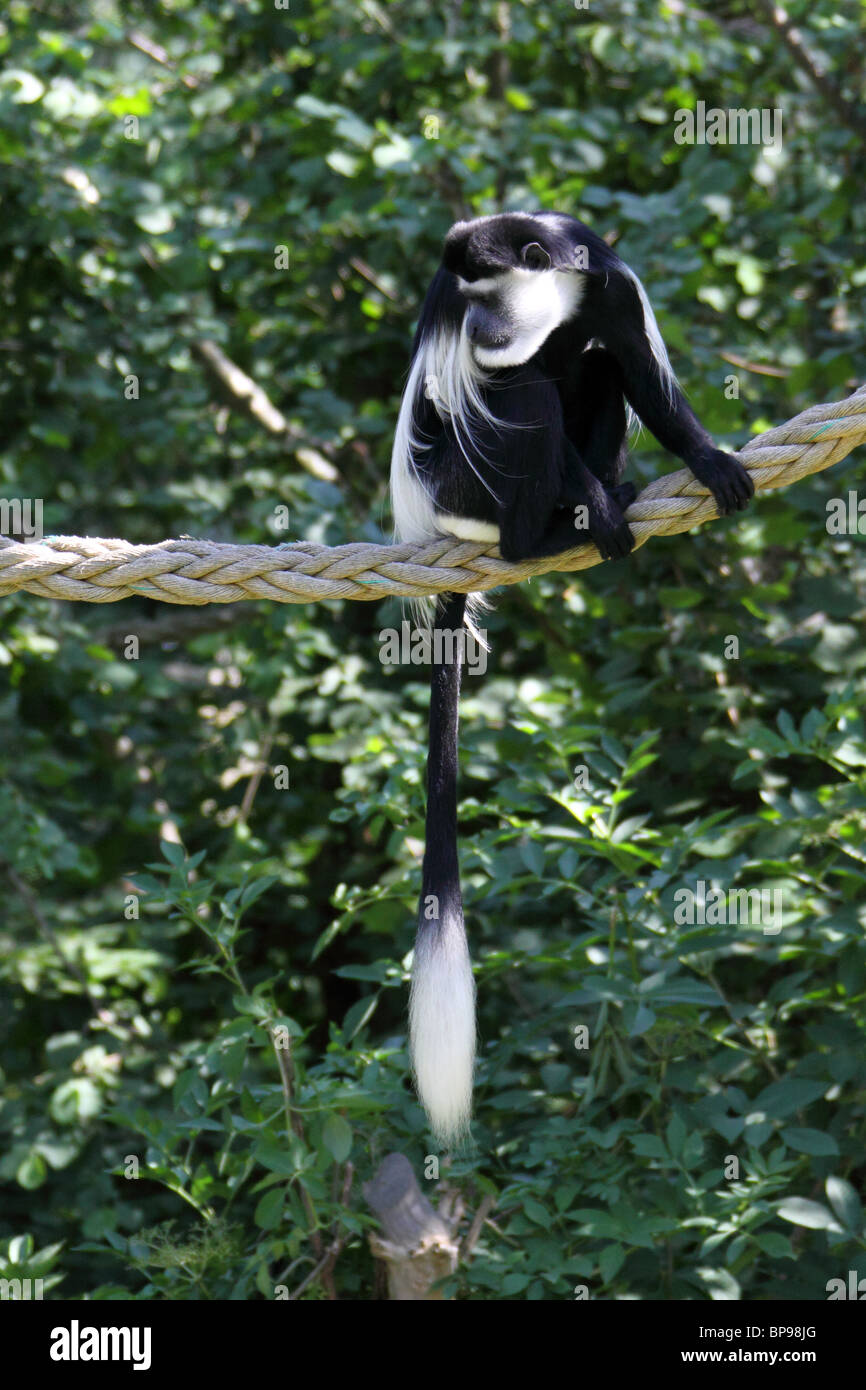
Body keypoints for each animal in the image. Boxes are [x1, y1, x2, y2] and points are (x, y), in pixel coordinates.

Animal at [389, 211, 753, 1144]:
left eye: (490, 294)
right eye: (467, 300)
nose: (481, 332)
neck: (554, 287)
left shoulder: (614, 287)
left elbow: (637, 373)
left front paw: (706, 458)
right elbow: (508, 397)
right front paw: (593, 502)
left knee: (590, 370)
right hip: (462, 489)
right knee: (524, 400)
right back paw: (552, 530)